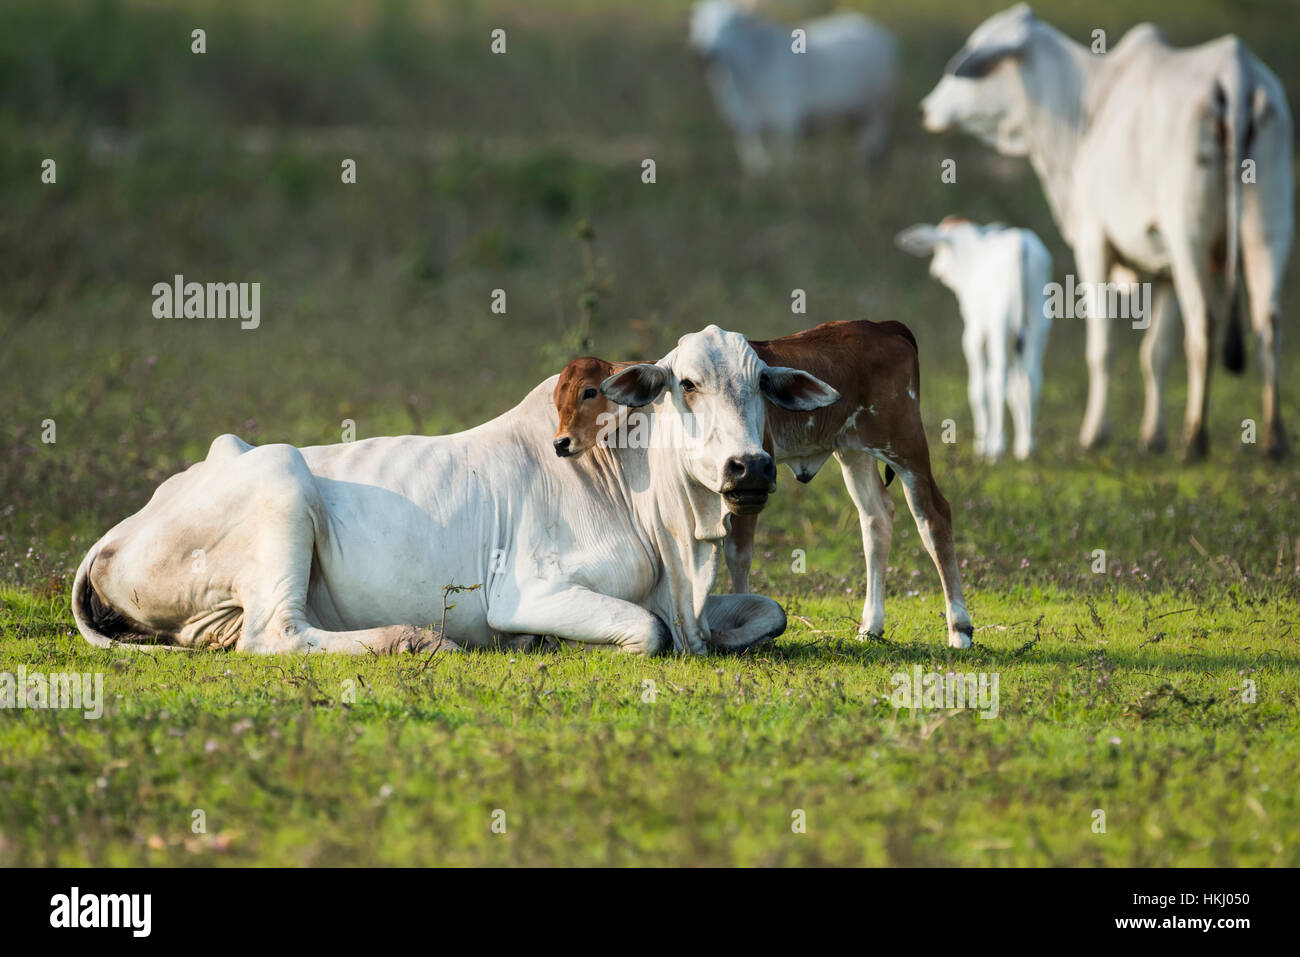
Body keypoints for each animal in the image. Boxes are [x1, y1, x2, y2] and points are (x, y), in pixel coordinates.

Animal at [71, 326, 841, 657]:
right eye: (686, 383)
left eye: (763, 384)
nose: (750, 468)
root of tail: (119, 531)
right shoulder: (527, 589)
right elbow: (647, 631)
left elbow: (767, 612)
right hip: (280, 479)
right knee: (273, 636)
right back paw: (410, 639)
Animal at [551, 320, 975, 649]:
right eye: (558, 401)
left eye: (591, 392)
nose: (561, 443)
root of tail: (886, 327)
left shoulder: (747, 484)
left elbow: (739, 553)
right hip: (853, 453)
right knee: (876, 518)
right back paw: (871, 626)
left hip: (905, 444)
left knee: (933, 516)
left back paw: (960, 630)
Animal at [687, 0, 899, 172]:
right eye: (700, 23)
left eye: (733, 23)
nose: (707, 54)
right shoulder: (744, 123)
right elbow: (754, 157)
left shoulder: (787, 119)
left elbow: (784, 158)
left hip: (880, 98)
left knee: (877, 126)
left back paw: (869, 154)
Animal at [896, 217, 1053, 461]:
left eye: (940, 246)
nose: (936, 271)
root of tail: (1022, 246)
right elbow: (1015, 388)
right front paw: (1021, 443)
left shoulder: (974, 334)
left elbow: (979, 388)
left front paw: (983, 446)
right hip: (1038, 321)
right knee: (1031, 376)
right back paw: (1028, 446)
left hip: (1000, 322)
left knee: (999, 378)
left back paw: (997, 447)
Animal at [921, 3, 1293, 460]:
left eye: (974, 58)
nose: (926, 109)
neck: (1087, 106)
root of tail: (1235, 69)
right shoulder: (1164, 266)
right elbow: (1155, 353)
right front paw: (1152, 436)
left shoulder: (1094, 243)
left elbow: (1102, 348)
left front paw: (1094, 433)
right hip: (1267, 232)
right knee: (1268, 326)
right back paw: (1273, 439)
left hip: (1189, 237)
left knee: (1203, 326)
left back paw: (1195, 439)